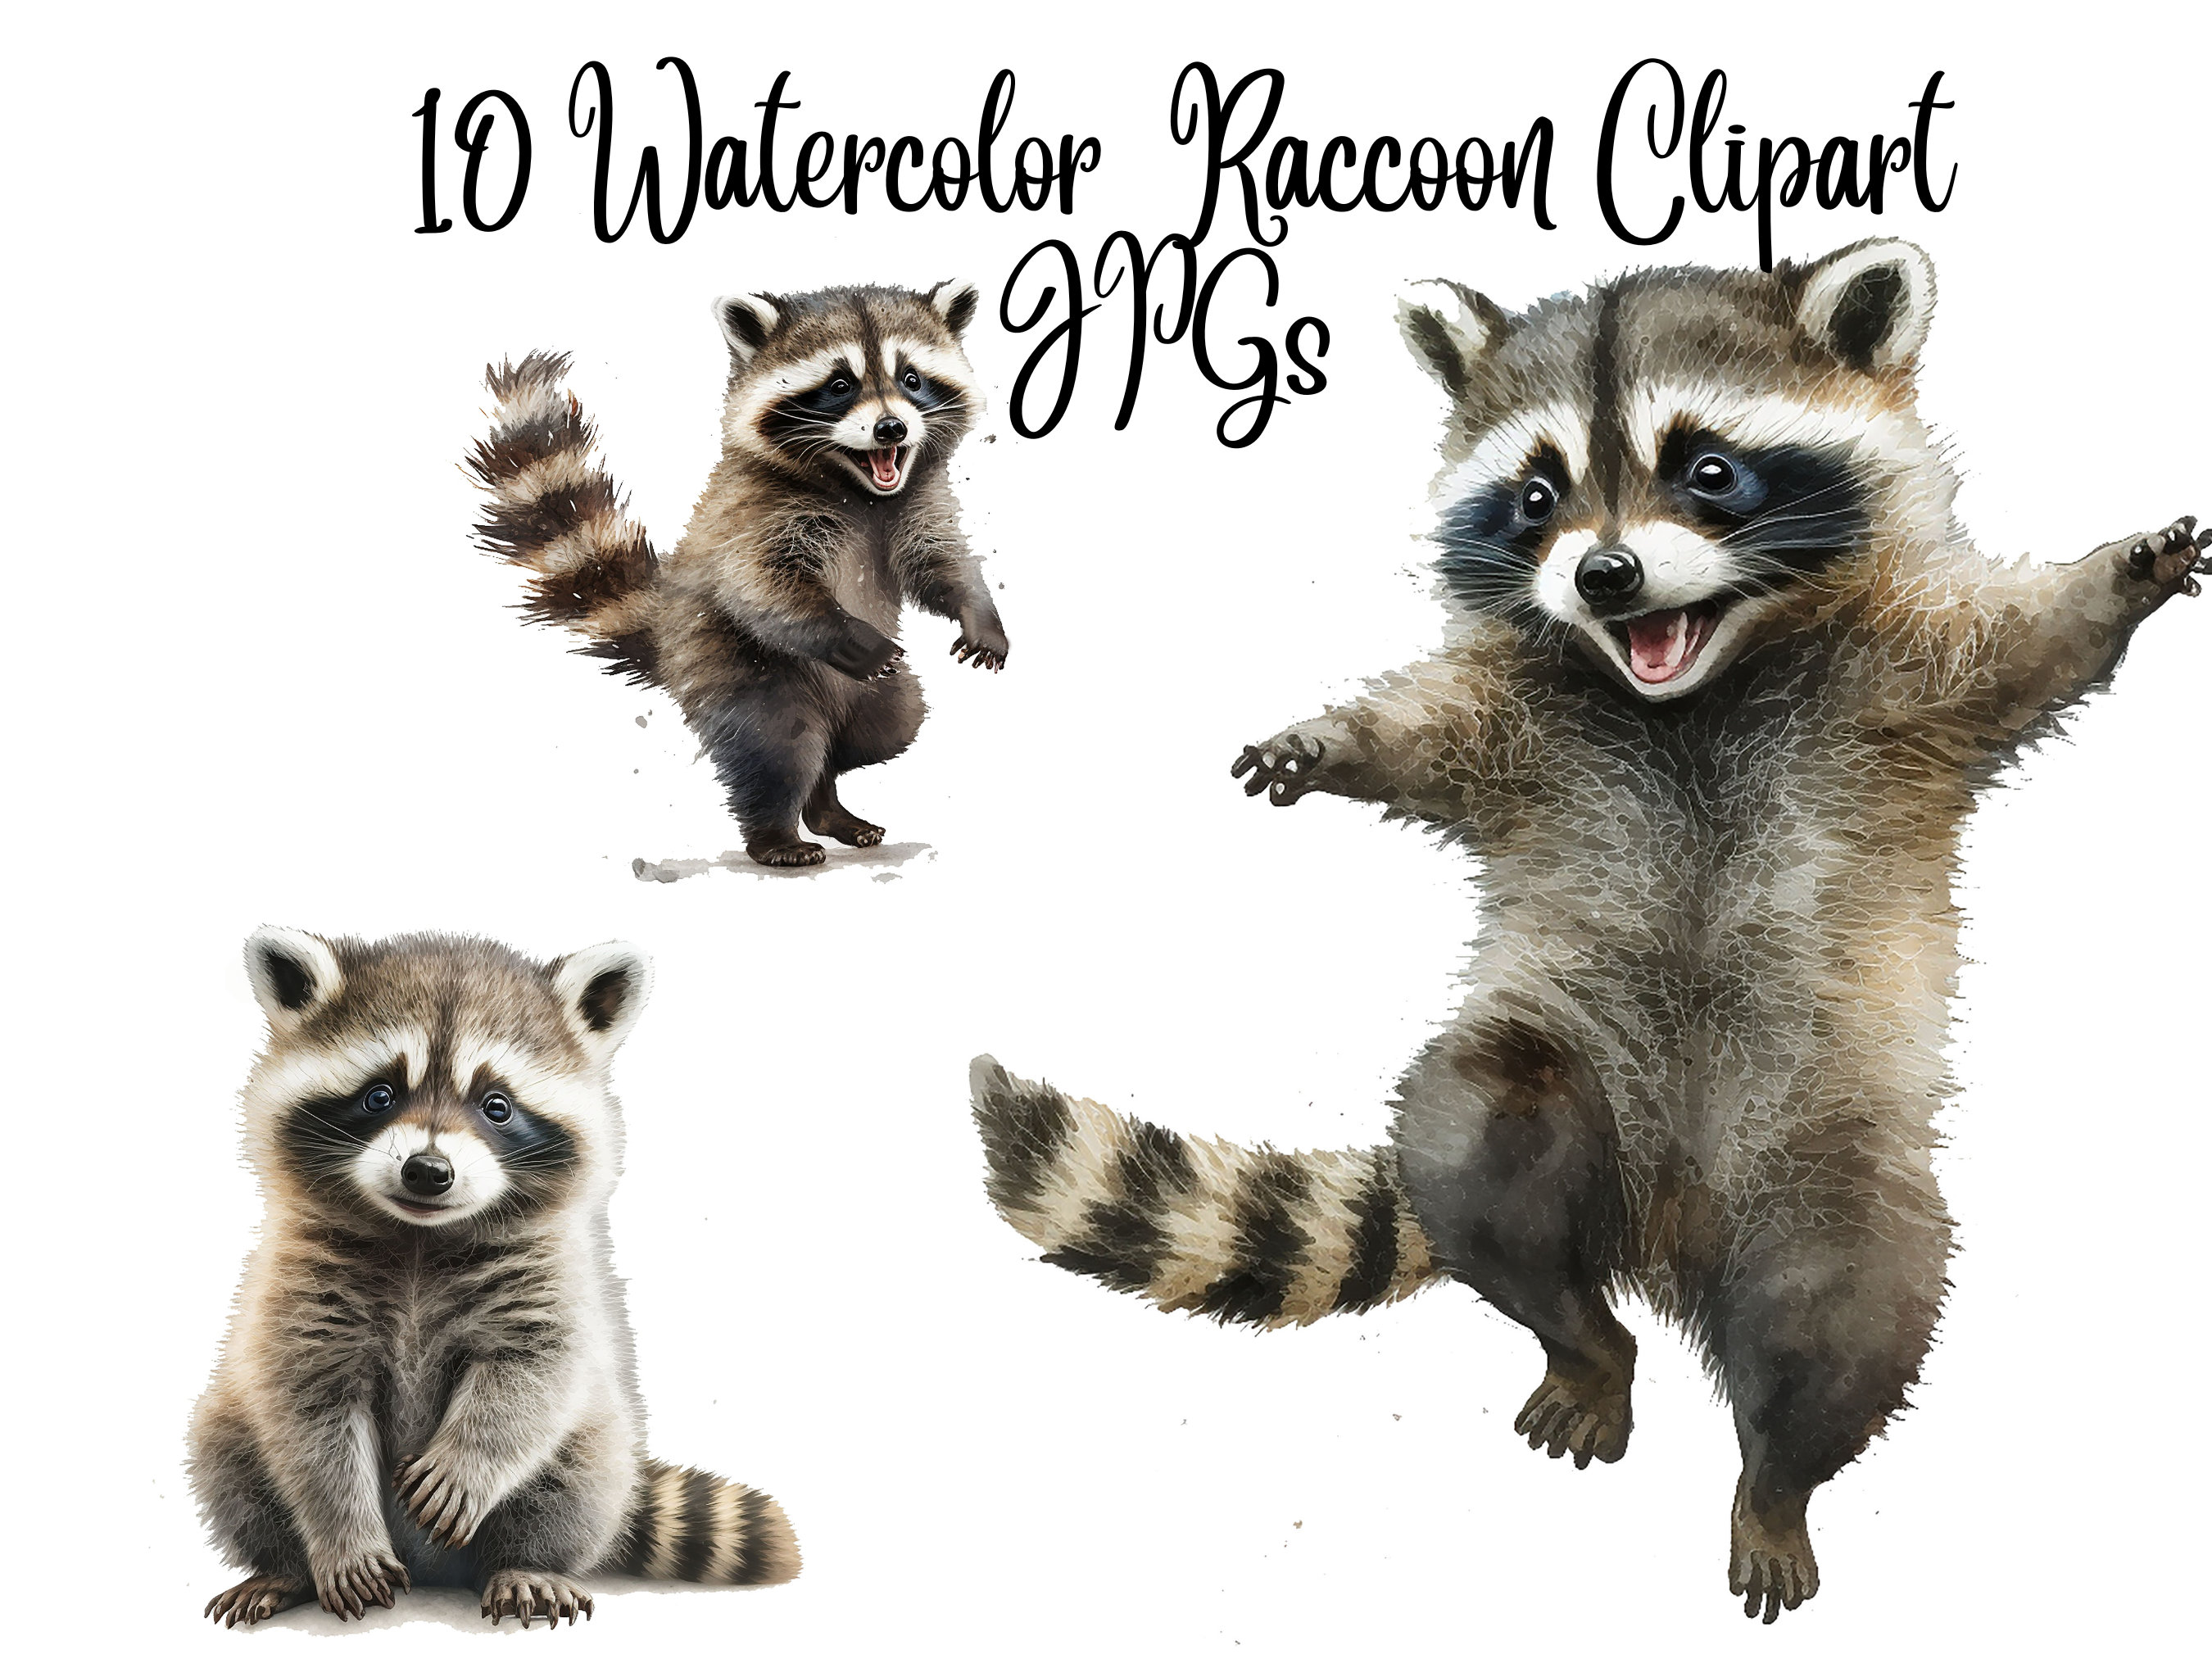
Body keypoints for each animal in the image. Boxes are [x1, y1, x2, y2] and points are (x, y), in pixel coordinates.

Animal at [191, 929, 800, 1629]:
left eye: (497, 1106)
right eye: (380, 1094)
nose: (428, 1171)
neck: (421, 1236)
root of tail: (430, 1570)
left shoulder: (547, 1274)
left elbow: (531, 1375)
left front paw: (471, 1460)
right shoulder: (302, 1286)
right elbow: (308, 1415)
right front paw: (343, 1533)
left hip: (592, 1446)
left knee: (580, 1467)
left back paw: (525, 1561)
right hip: (230, 1419)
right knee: (226, 1449)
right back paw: (284, 1567)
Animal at [466, 282, 1008, 866]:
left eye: (912, 379)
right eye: (840, 385)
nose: (892, 428)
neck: (858, 487)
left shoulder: (918, 499)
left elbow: (942, 562)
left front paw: (981, 615)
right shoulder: (752, 513)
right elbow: (759, 587)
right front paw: (849, 633)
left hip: (869, 696)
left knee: (889, 725)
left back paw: (826, 802)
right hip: (739, 671)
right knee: (778, 747)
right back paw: (776, 836)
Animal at [973, 239, 2210, 1621]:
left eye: (1709, 469)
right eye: (1536, 494)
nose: (1605, 573)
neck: (1692, 682)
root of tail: (1660, 1233)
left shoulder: (1900, 681)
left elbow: (2025, 645)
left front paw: (2121, 574)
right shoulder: (1523, 726)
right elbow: (1423, 731)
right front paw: (1332, 738)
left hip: (1821, 1147)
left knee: (1846, 1296)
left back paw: (1776, 1481)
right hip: (1572, 1067)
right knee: (1480, 1129)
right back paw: (1587, 1344)